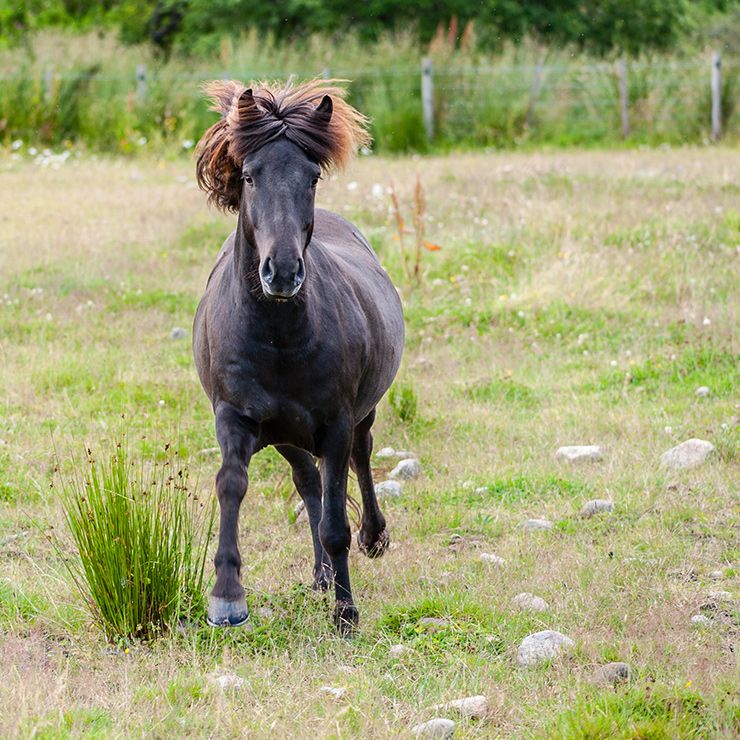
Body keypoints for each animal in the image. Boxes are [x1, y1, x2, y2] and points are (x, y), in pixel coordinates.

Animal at [192, 79, 404, 634]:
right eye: (248, 176)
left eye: (312, 178)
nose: (283, 272)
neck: (279, 339)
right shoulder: (234, 417)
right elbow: (231, 485)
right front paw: (227, 598)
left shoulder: (335, 423)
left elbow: (336, 523)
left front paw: (346, 614)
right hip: (286, 432)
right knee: (308, 481)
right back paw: (321, 574)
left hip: (358, 415)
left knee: (360, 457)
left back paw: (372, 538)